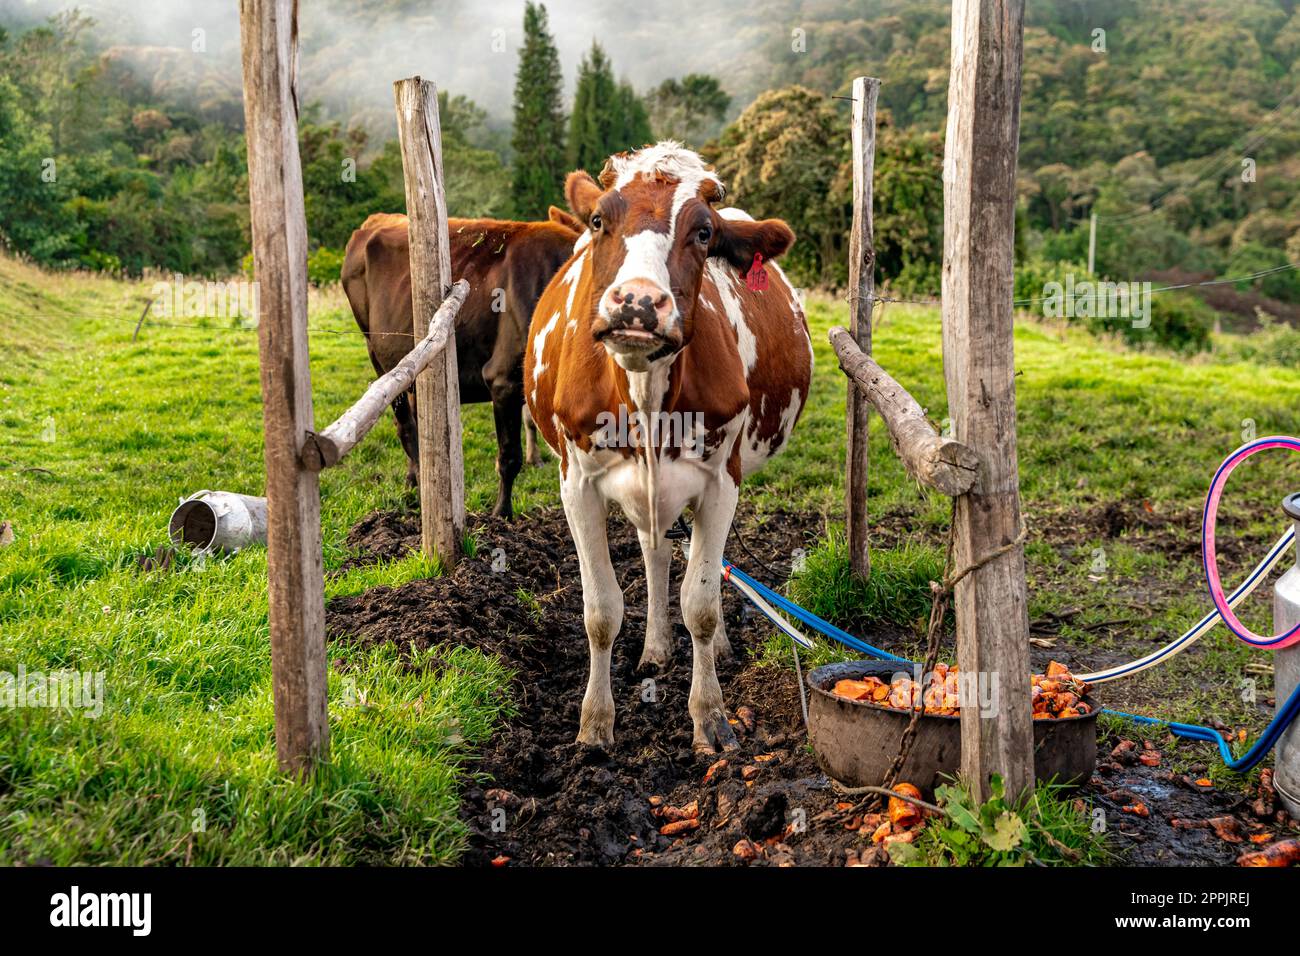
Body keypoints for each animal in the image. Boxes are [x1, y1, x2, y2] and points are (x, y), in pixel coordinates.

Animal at [342, 207, 582, 518]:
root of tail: (377, 218)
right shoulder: (503, 379)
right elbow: (510, 457)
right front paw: (501, 514)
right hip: (379, 358)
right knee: (405, 426)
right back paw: (420, 485)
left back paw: (413, 478)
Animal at [525, 143, 812, 753]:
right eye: (598, 220)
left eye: (703, 232)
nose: (637, 303)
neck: (644, 387)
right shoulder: (576, 483)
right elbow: (600, 611)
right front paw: (595, 724)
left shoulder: (721, 480)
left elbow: (699, 604)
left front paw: (710, 717)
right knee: (654, 552)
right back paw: (655, 646)